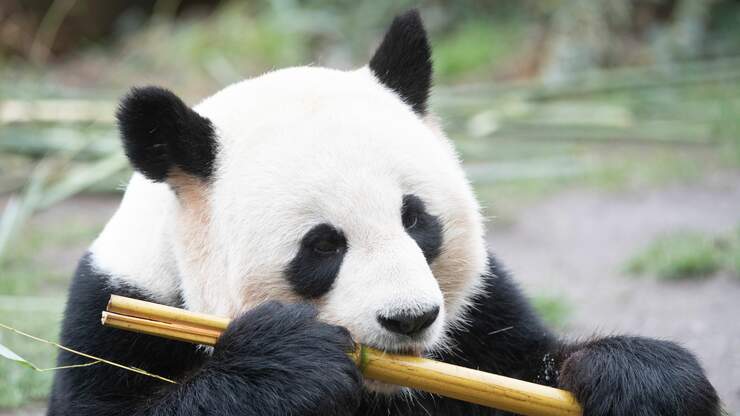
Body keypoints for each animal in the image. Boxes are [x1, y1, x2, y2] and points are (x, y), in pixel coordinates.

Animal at [48, 10, 720, 416]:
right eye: (322, 245)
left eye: (416, 220)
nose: (410, 319)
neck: (386, 389)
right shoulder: (118, 311)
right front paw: (286, 362)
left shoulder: (481, 316)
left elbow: (527, 370)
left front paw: (639, 381)